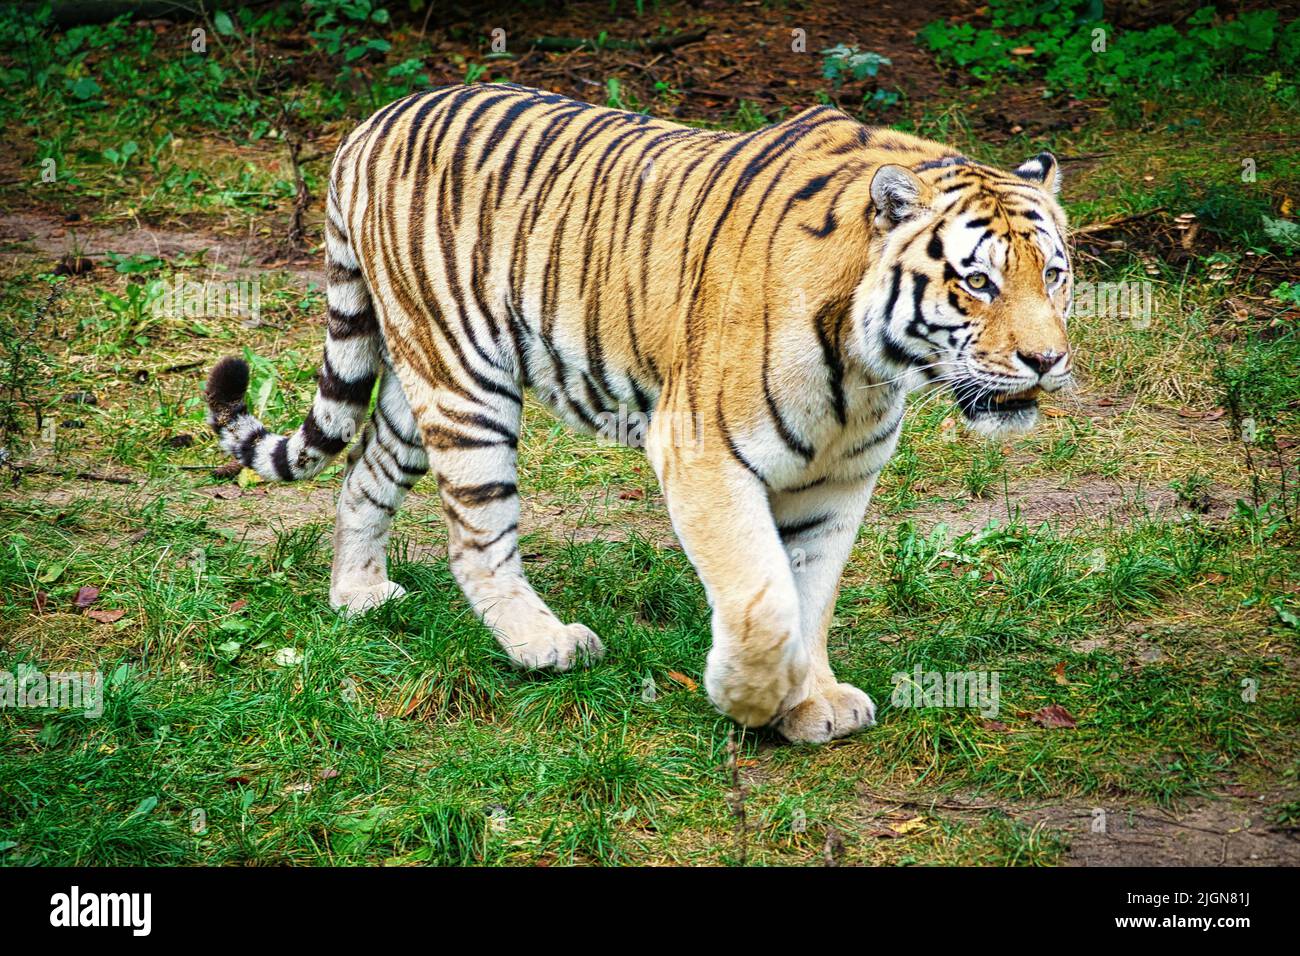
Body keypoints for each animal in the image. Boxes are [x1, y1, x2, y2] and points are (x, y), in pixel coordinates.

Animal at [205, 83, 1072, 743]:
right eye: (978, 282)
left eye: (1054, 276)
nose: (1046, 360)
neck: (869, 369)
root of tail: (370, 124)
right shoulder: (704, 455)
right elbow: (763, 600)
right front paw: (746, 699)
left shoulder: (837, 484)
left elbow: (811, 595)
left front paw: (813, 702)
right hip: (466, 382)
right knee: (476, 539)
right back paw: (546, 645)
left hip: (418, 380)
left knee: (363, 474)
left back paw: (359, 597)